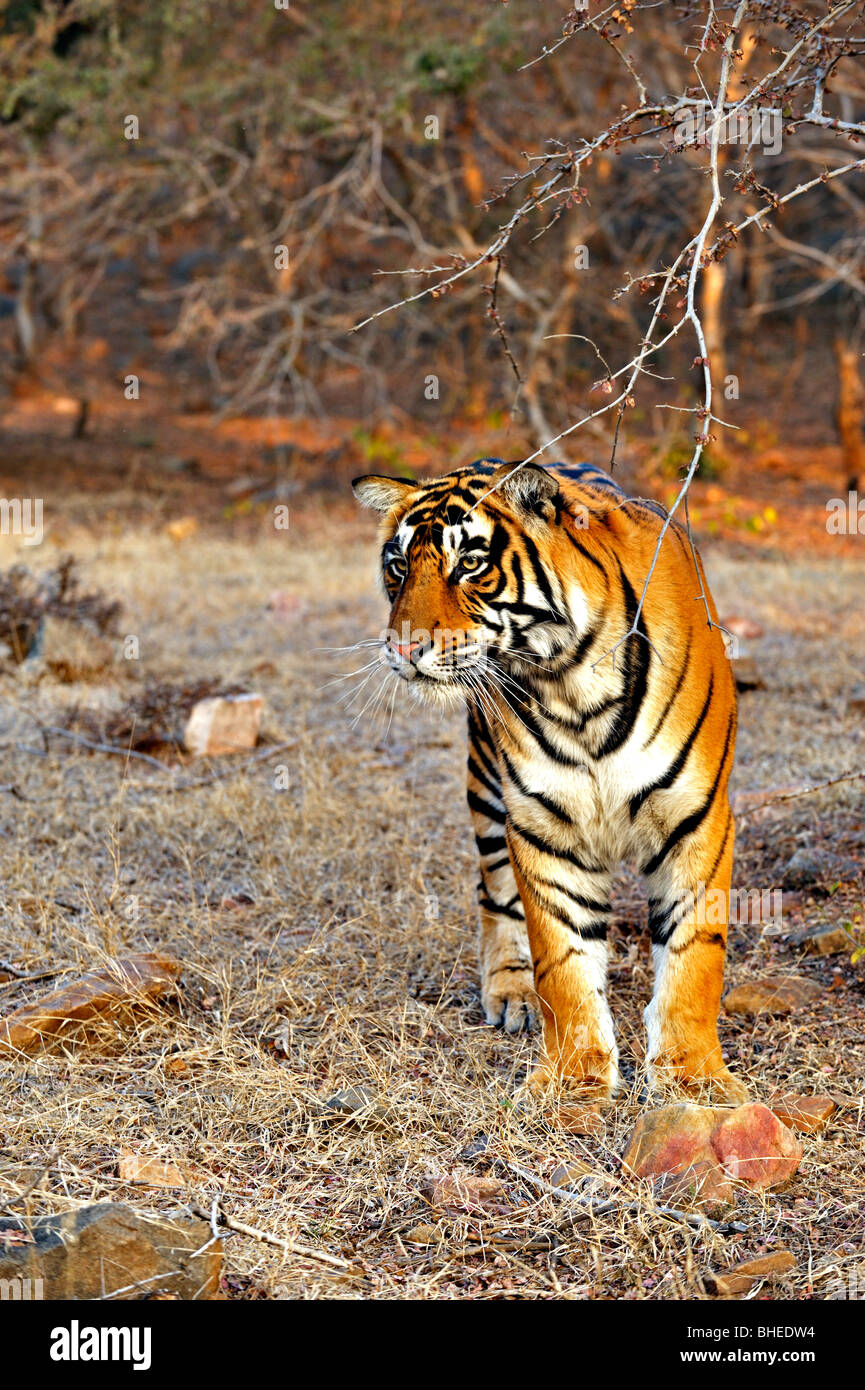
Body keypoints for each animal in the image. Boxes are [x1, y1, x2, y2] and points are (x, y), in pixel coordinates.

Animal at [352, 459, 748, 1104]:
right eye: (398, 566)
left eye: (471, 563)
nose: (403, 649)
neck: (570, 682)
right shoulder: (543, 825)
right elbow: (562, 959)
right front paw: (574, 1081)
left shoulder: (698, 817)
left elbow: (694, 956)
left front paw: (694, 1080)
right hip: (488, 788)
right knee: (493, 891)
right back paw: (511, 992)